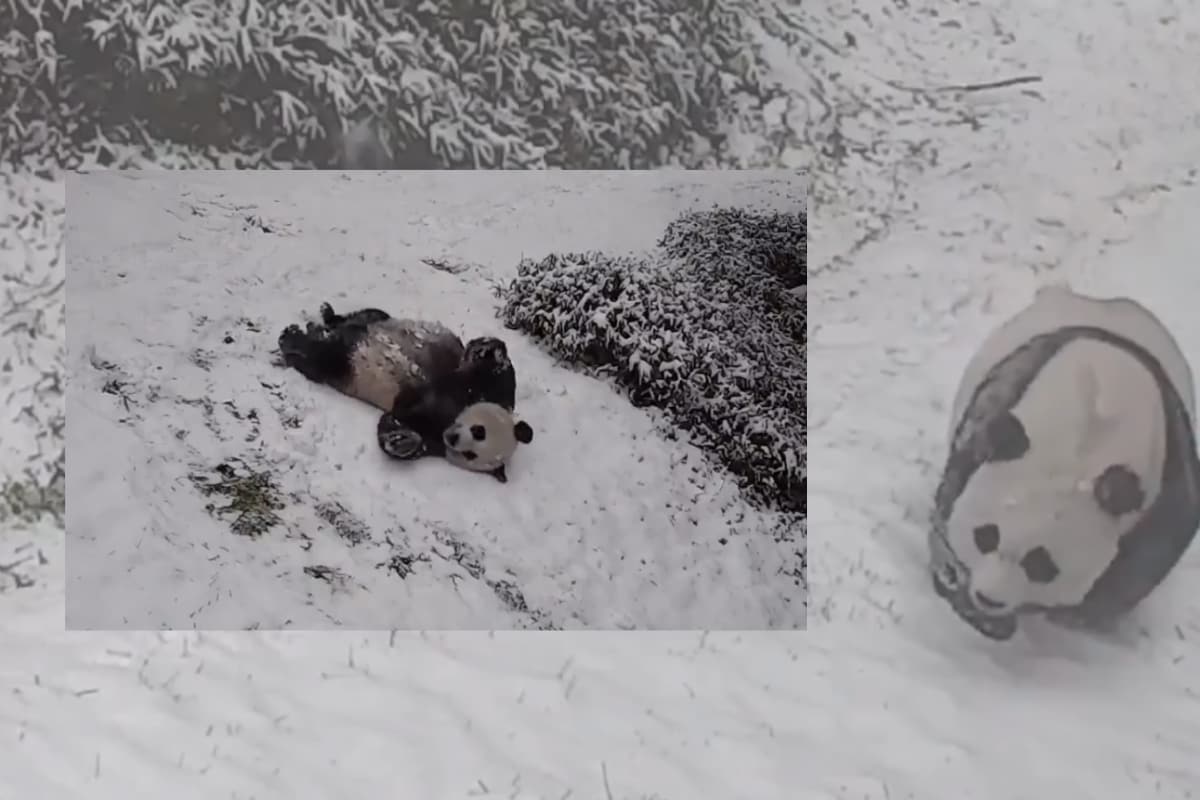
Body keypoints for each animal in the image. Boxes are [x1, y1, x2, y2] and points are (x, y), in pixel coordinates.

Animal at [930, 285, 1200, 641]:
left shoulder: (1166, 480)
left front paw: (1073, 616)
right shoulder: (993, 414)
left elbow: (1139, 566)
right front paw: (968, 600)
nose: (989, 598)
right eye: (986, 536)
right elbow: (948, 514)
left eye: (1041, 564)